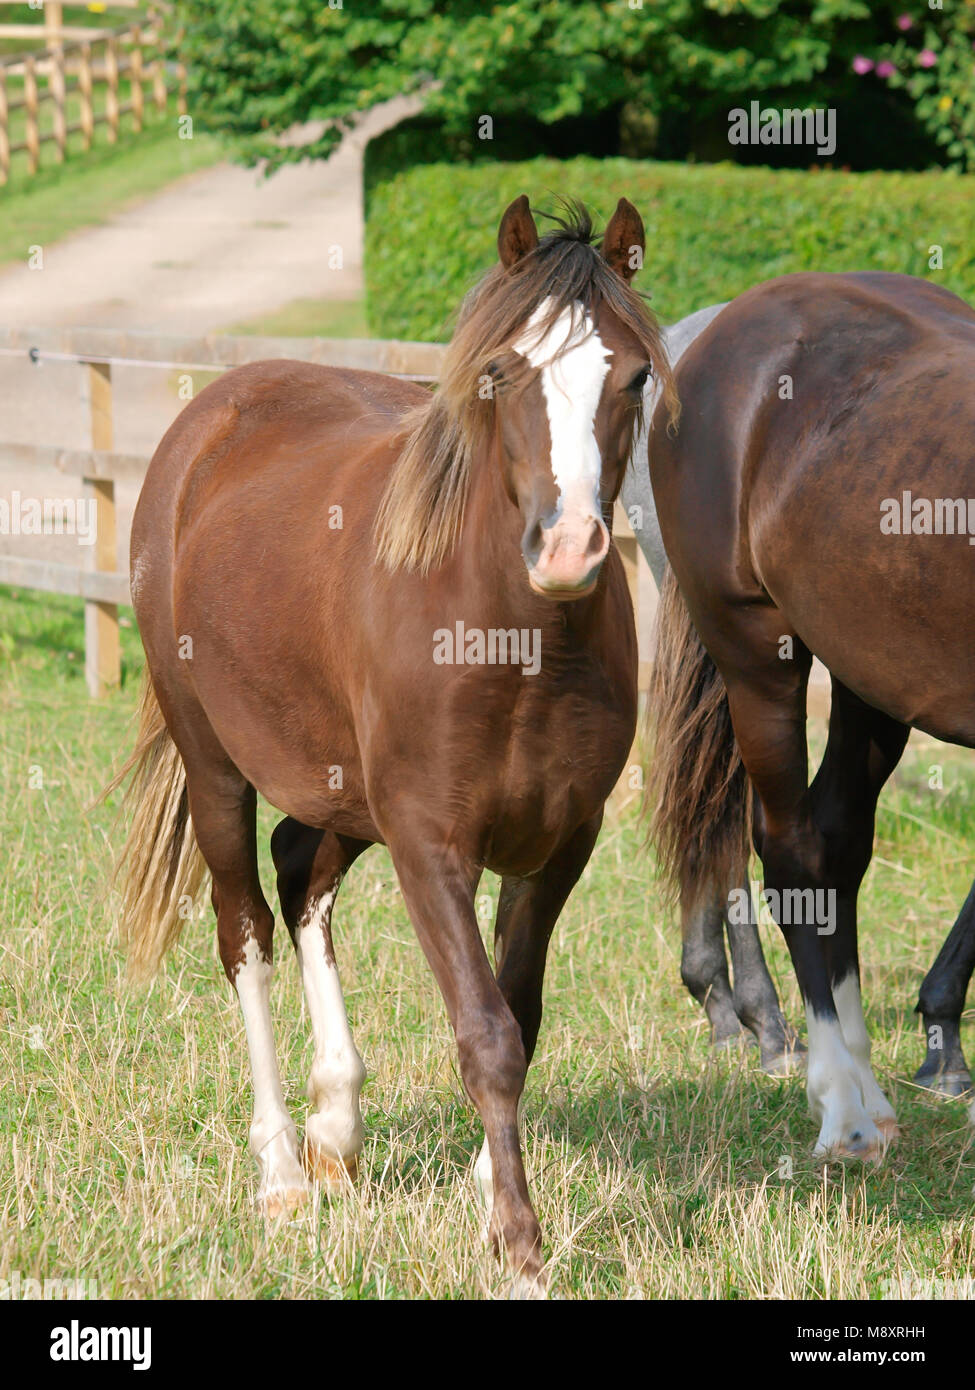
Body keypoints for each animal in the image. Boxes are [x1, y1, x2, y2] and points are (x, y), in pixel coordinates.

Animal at [111, 195, 674, 1292]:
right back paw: (283, 1172)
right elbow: (487, 1031)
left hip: (343, 789)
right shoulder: (429, 842)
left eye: (631, 374)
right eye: (500, 371)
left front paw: (482, 1190)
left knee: (301, 870)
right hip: (217, 769)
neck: (511, 638)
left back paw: (337, 1126)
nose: (569, 549)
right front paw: (516, 1239)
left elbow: (518, 1015)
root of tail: (211, 415)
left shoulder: (558, 845)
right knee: (244, 929)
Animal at [645, 270, 975, 1157]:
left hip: (869, 677)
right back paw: (838, 1098)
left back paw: (862, 1075)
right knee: (788, 846)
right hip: (758, 653)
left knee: (837, 841)